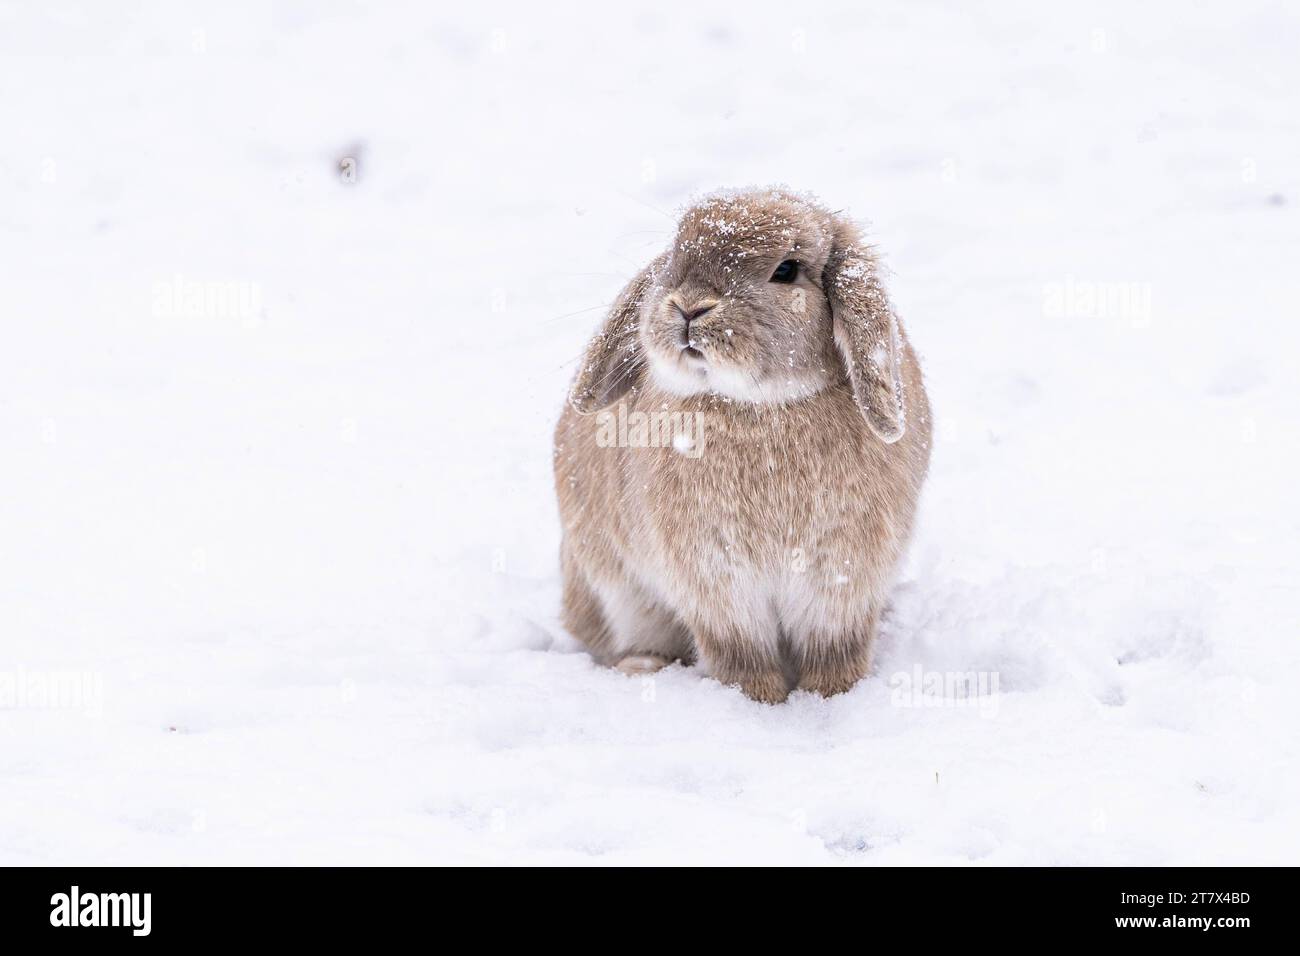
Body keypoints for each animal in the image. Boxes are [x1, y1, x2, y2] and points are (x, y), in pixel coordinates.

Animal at [553, 188, 931, 703]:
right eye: (677, 251)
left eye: (787, 269)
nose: (690, 307)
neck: (759, 406)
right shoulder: (718, 586)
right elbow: (739, 654)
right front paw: (758, 702)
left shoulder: (842, 582)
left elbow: (835, 651)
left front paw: (829, 698)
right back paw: (642, 669)